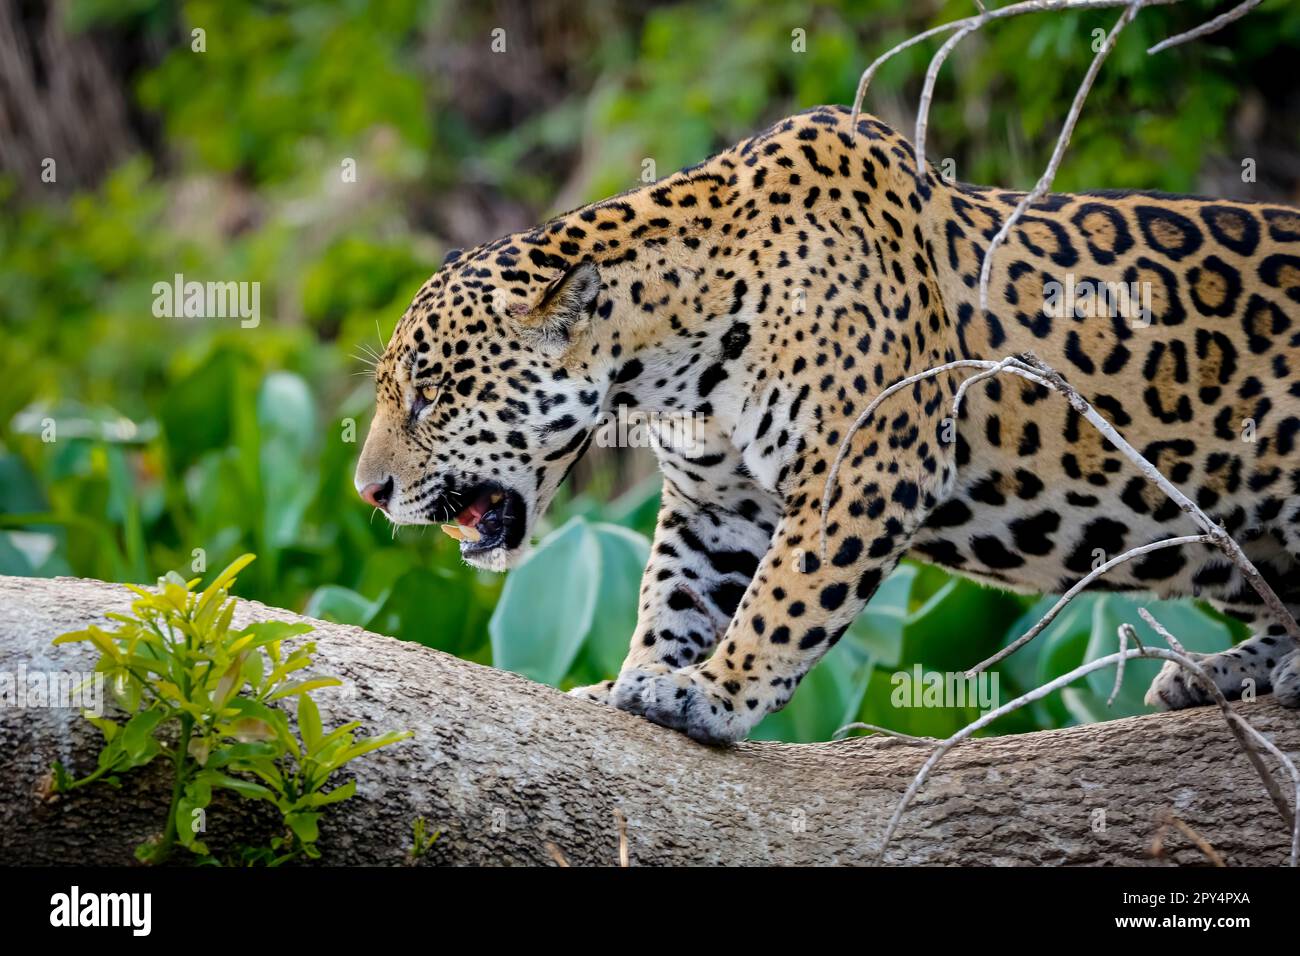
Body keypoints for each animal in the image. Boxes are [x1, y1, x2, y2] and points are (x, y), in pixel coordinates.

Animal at [354, 104, 1300, 744]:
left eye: (430, 393)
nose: (369, 491)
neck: (669, 362)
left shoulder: (868, 467)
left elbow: (784, 601)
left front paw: (713, 694)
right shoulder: (717, 506)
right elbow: (674, 595)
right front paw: (638, 678)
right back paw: (1219, 675)